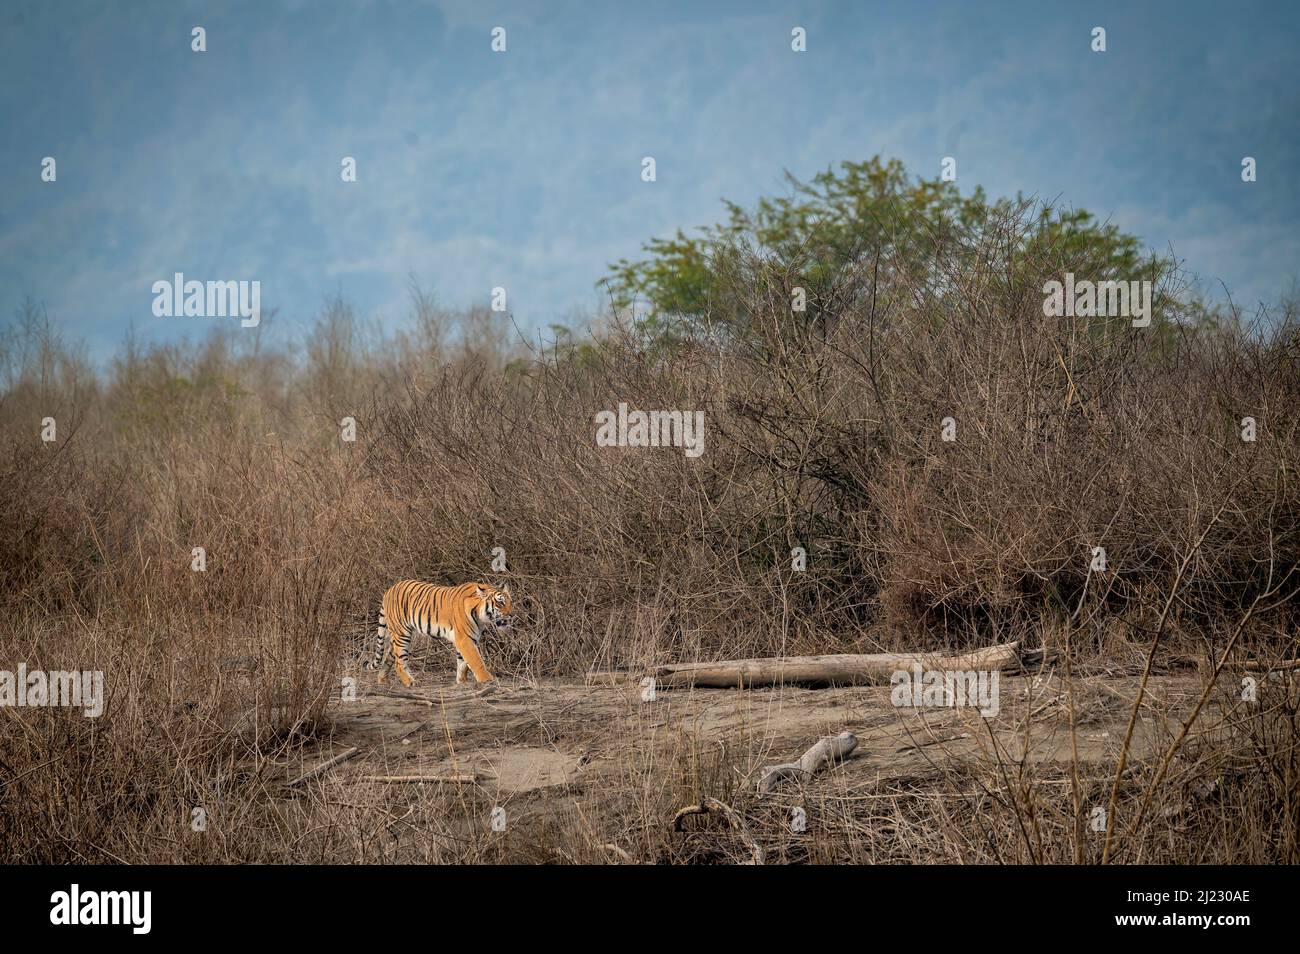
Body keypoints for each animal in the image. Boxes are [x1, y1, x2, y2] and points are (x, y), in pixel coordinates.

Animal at [363, 581, 512, 687]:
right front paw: (487, 679)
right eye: (500, 603)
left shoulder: (468, 638)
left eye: (510, 602)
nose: (512, 615)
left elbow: (463, 663)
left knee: (388, 657)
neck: (480, 616)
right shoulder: (464, 639)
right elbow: (476, 660)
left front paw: (461, 681)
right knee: (399, 662)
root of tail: (389, 590)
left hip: (399, 636)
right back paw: (410, 682)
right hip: (402, 634)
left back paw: (383, 680)